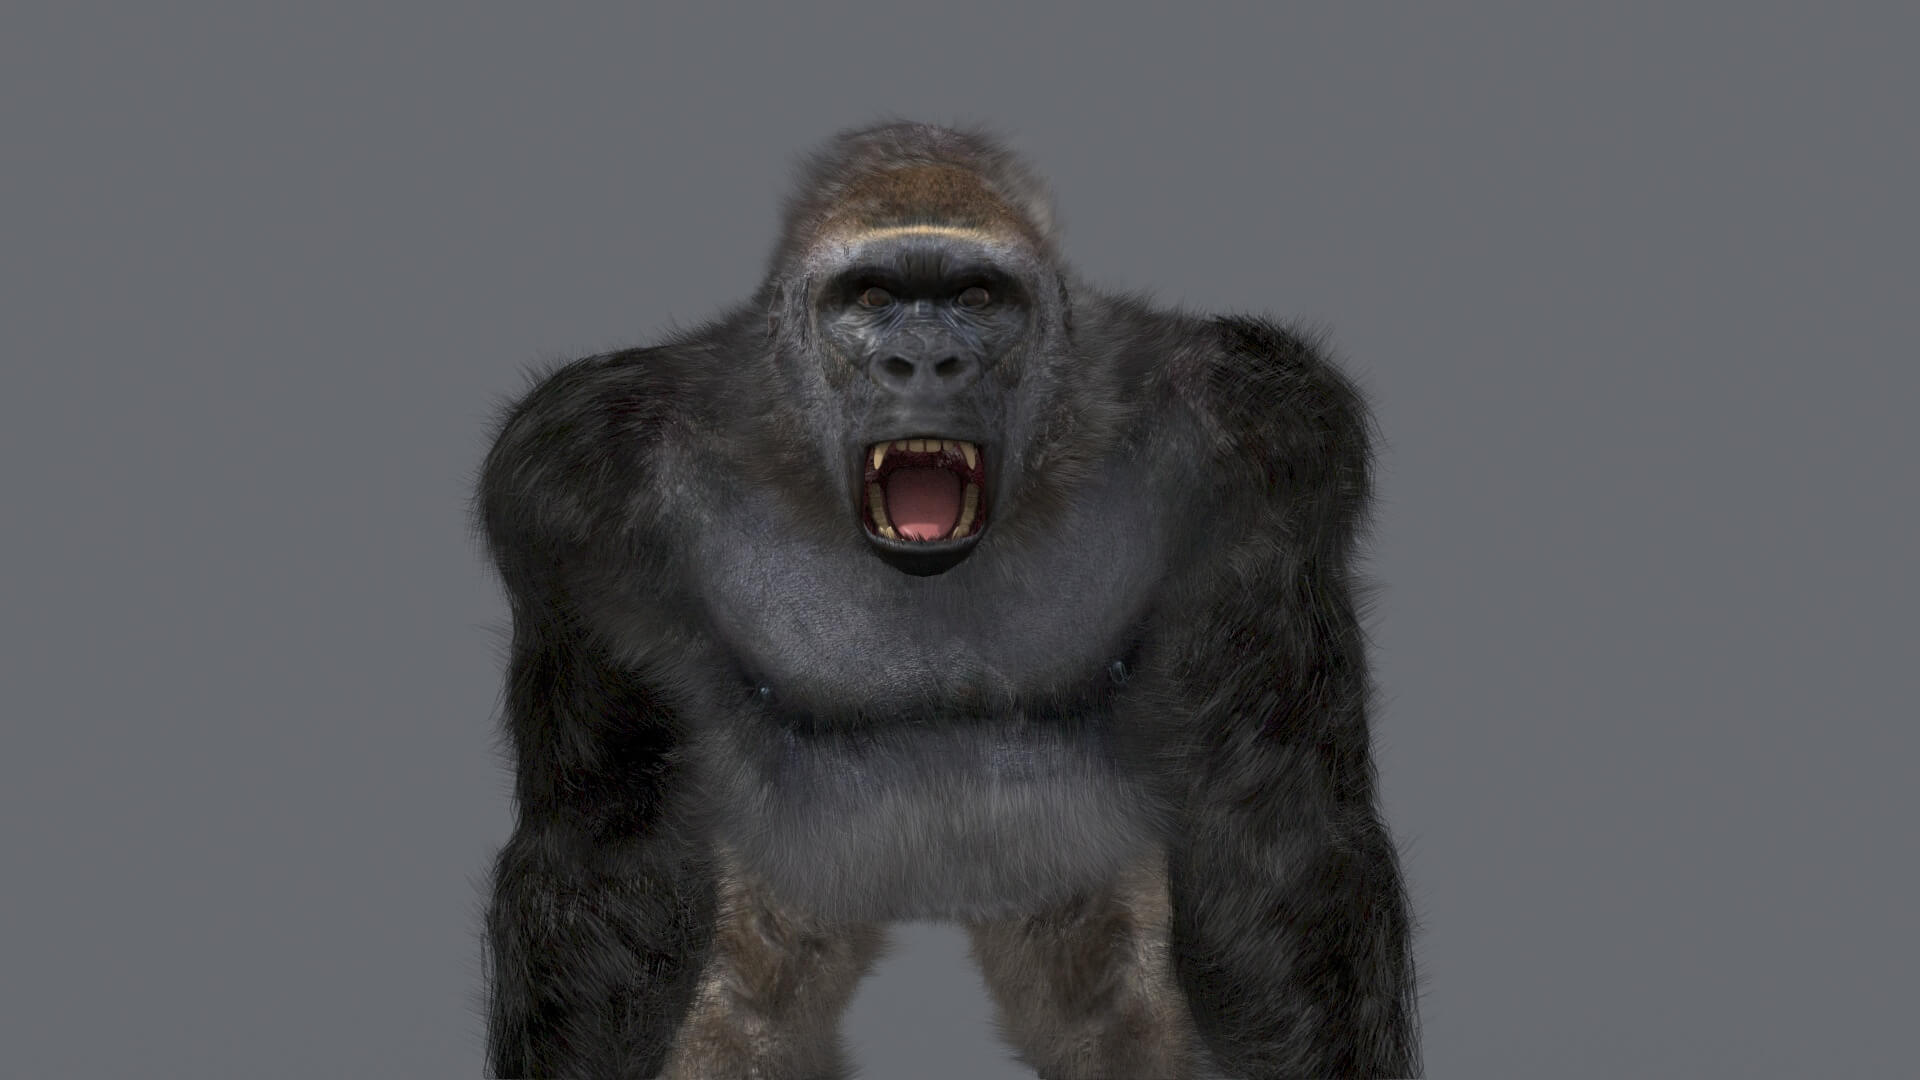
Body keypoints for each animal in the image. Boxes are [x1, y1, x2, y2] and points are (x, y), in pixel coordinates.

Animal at [477, 121, 1420, 1079]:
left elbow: (1277, 839)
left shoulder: (1259, 434)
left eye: (976, 296)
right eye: (871, 297)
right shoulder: (581, 476)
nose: (926, 360)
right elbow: (607, 853)